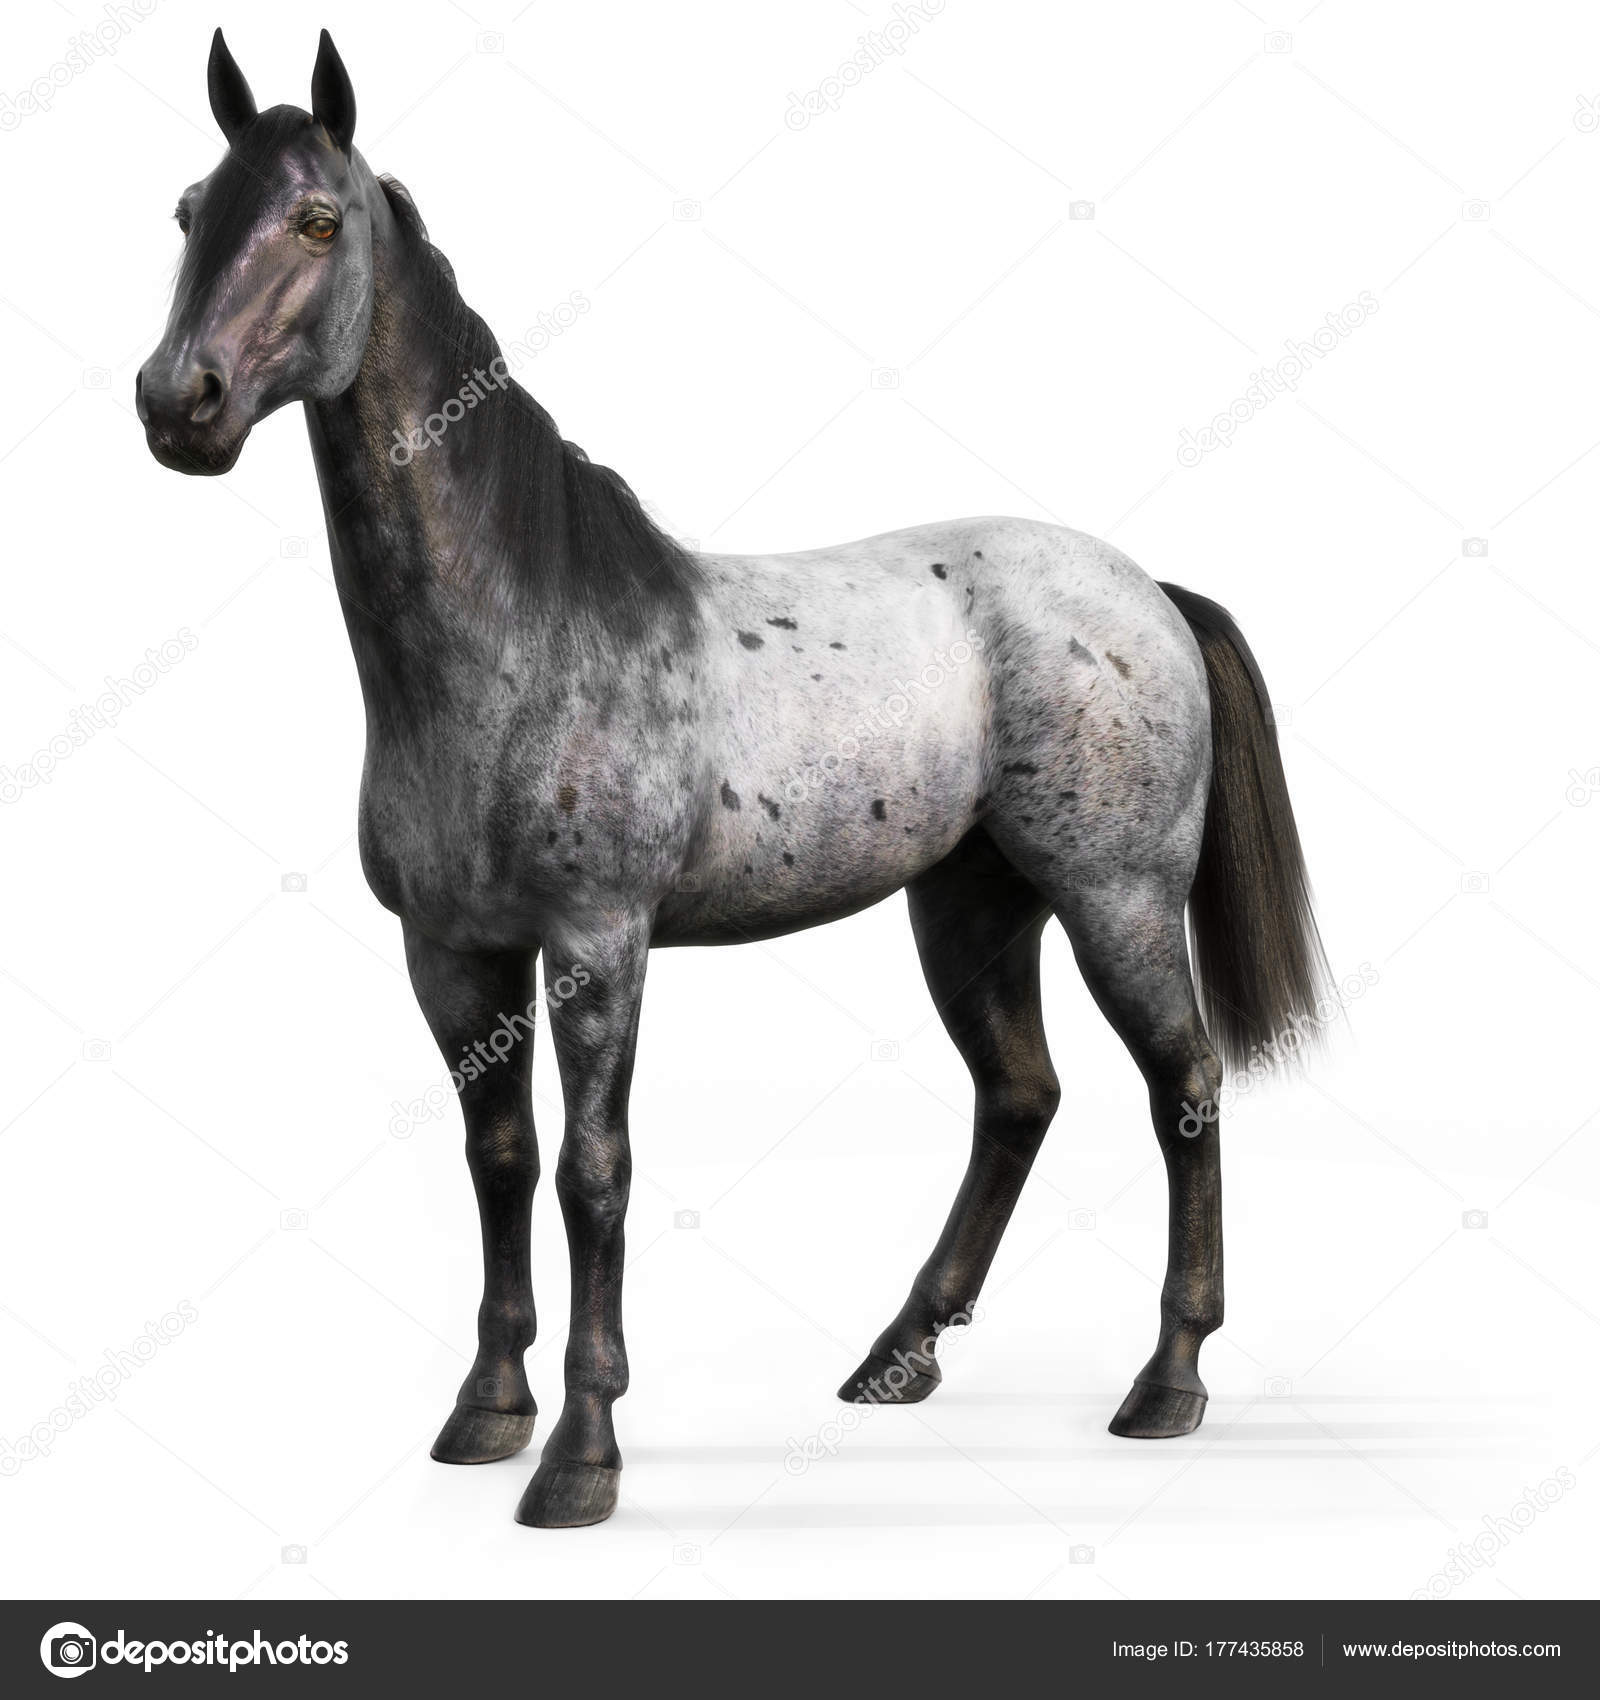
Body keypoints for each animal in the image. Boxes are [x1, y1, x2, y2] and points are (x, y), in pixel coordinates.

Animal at [137, 30, 1330, 1528]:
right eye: (190, 211)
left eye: (313, 220)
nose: (177, 404)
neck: (521, 628)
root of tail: (1150, 593)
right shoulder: (453, 954)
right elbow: (498, 1160)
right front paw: (487, 1412)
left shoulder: (599, 943)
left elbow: (593, 1172)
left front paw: (581, 1455)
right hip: (969, 906)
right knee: (1020, 1096)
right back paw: (897, 1356)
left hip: (1114, 898)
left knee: (1185, 1087)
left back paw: (1166, 1382)